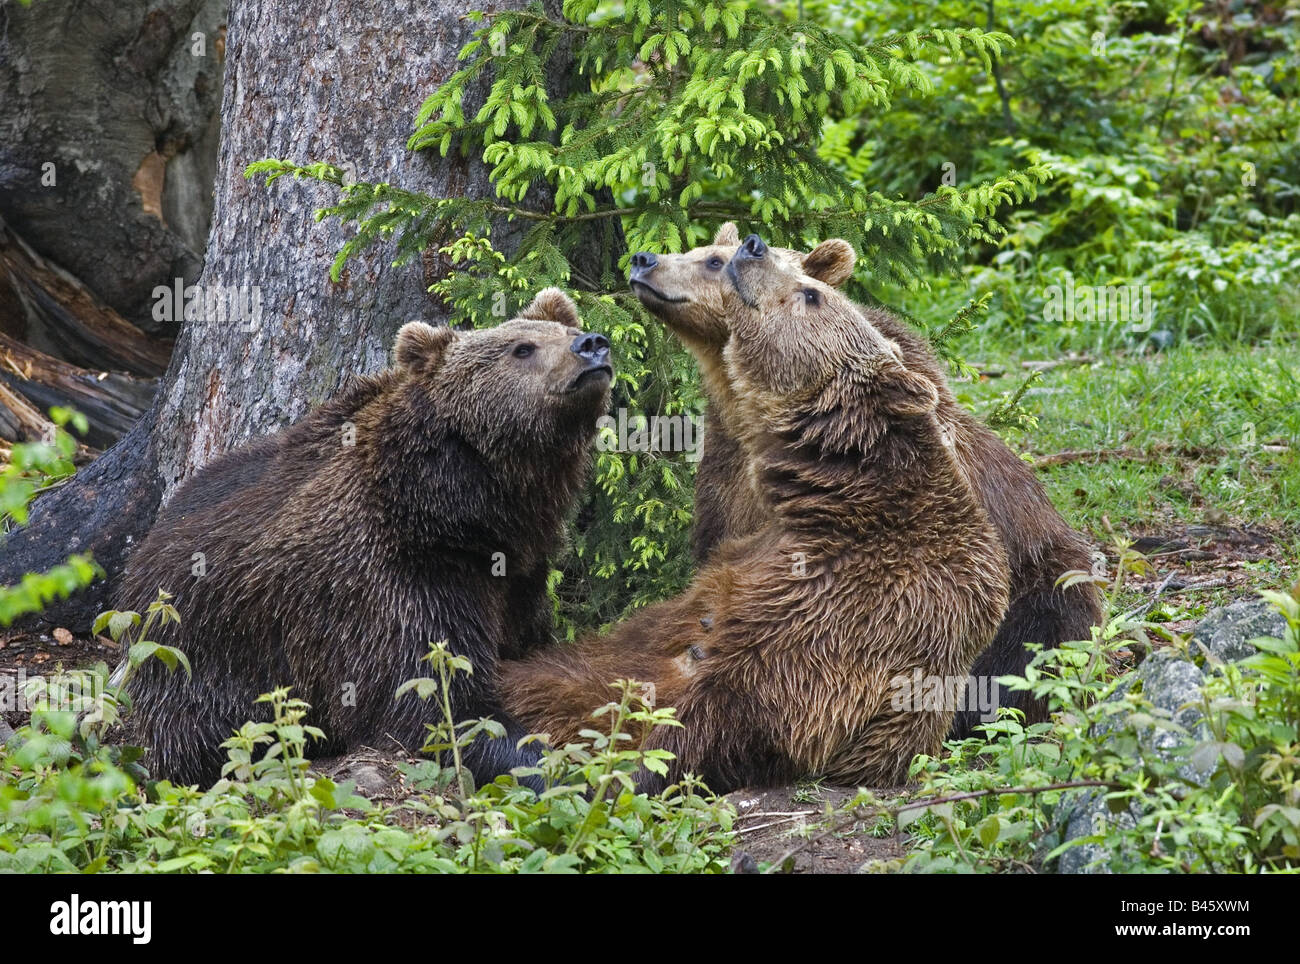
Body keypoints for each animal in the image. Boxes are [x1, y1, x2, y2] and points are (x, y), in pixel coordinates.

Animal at [119, 289, 612, 788]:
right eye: (522, 348)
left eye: (567, 329)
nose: (592, 344)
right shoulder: (390, 583)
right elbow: (435, 699)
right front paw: (550, 764)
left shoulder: (519, 574)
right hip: (197, 651)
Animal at [502, 240, 1010, 792]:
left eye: (810, 293)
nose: (753, 246)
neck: (835, 500)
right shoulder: (735, 554)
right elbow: (602, 652)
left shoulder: (861, 611)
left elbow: (726, 704)